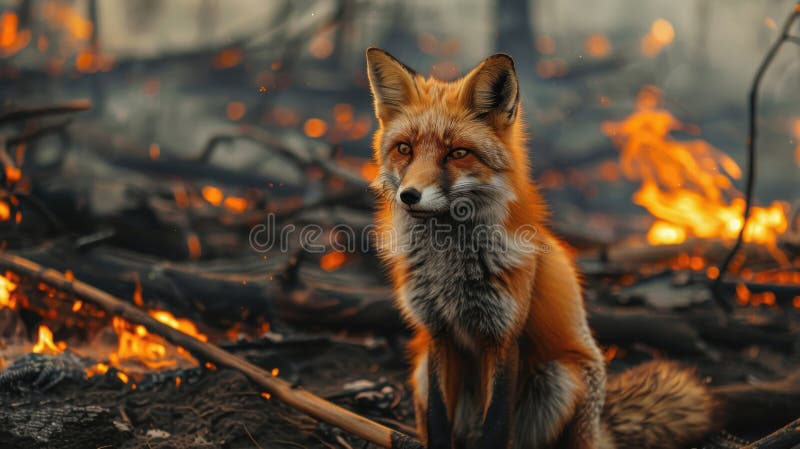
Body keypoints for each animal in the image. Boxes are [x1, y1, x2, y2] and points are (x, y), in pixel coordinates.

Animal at [365, 47, 716, 449]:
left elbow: (496, 425)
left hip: (559, 378)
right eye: (404, 149)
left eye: (457, 153)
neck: (447, 265)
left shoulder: (504, 337)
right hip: (423, 368)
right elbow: (439, 421)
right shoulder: (438, 334)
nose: (409, 195)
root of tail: (598, 431)